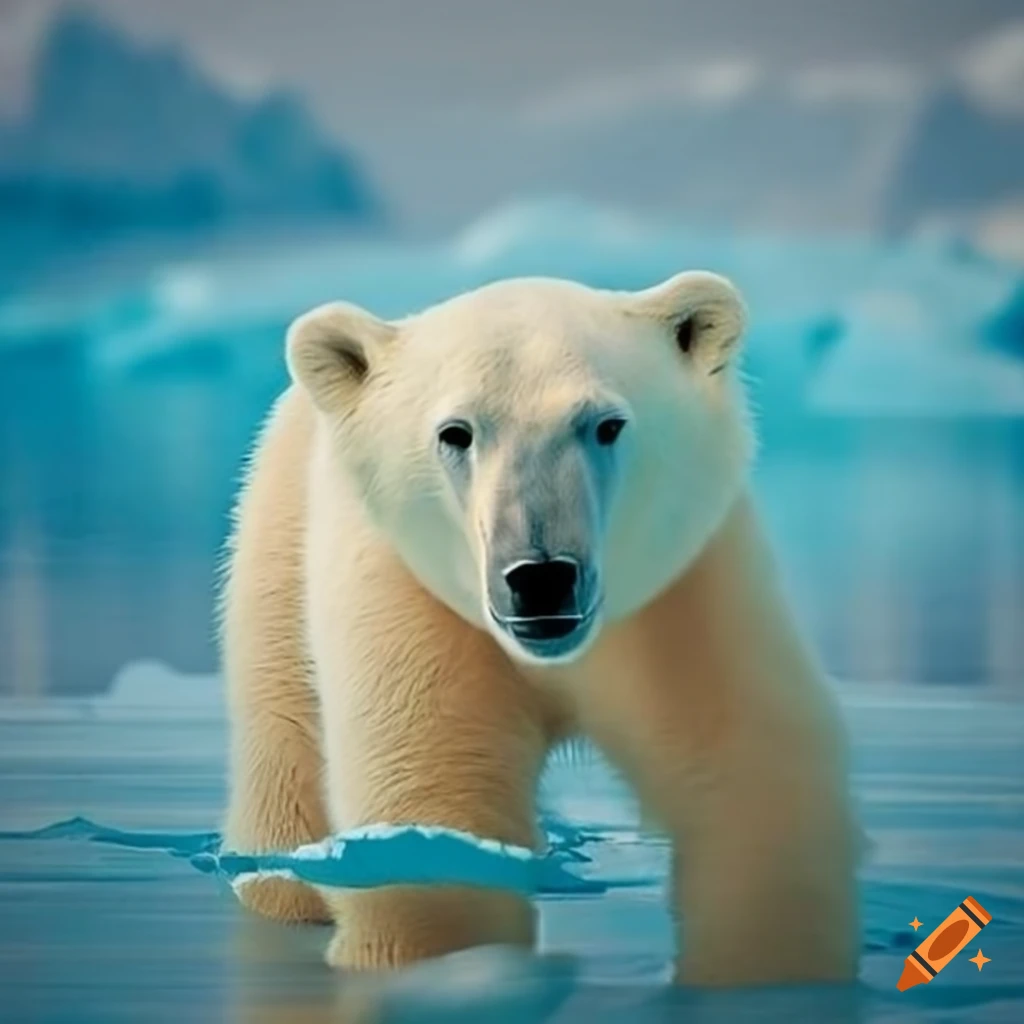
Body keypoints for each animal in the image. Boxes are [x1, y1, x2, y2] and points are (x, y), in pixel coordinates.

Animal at [220, 271, 861, 987]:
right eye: (456, 432)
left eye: (607, 424)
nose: (541, 577)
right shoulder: (407, 598)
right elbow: (433, 802)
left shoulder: (682, 593)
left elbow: (749, 781)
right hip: (276, 542)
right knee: (282, 734)